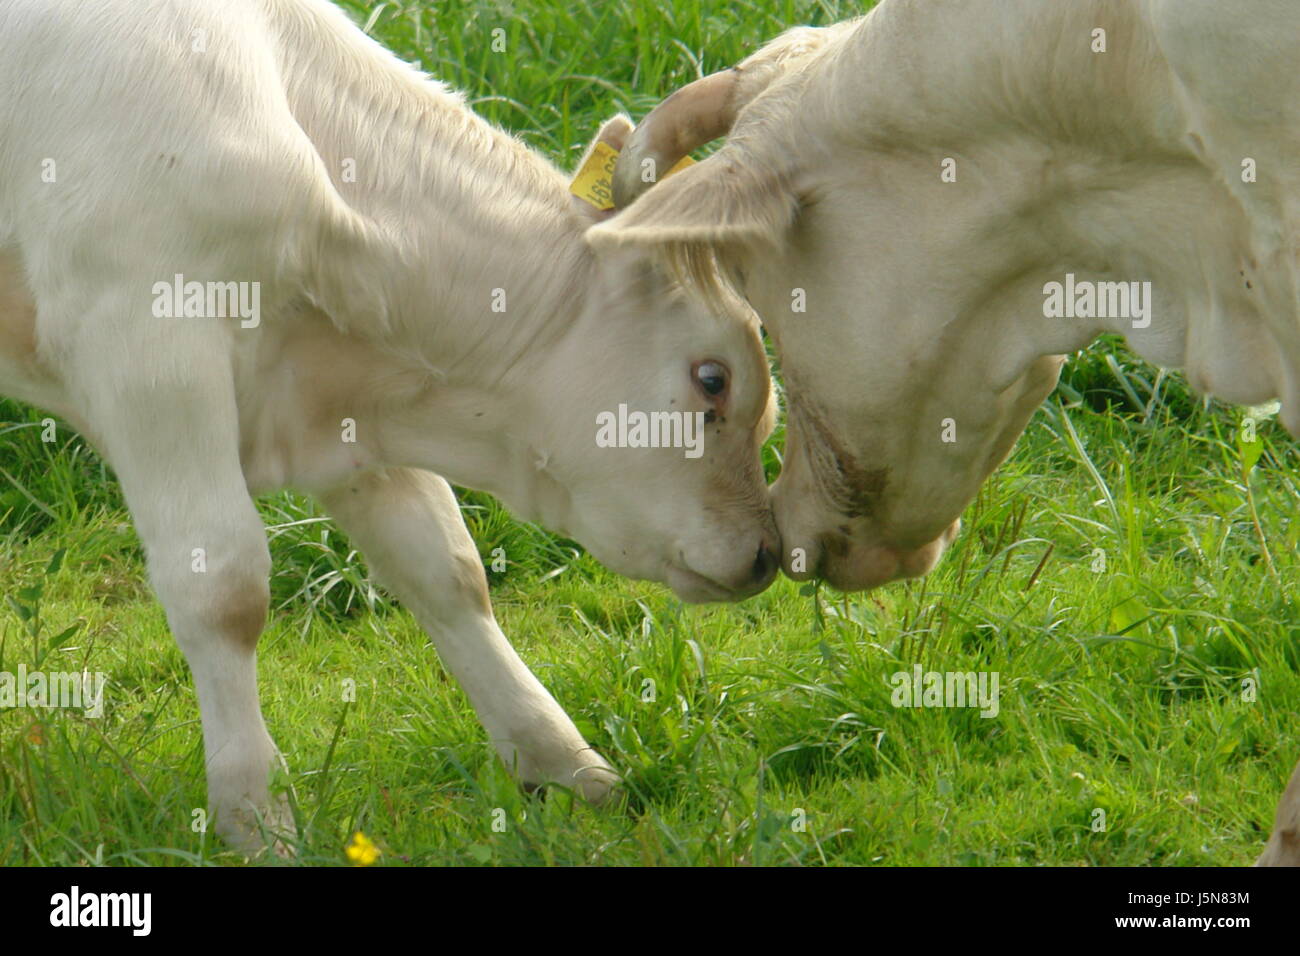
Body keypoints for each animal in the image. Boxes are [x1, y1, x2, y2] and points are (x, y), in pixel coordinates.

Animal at [0, 0, 781, 852]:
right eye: (714, 378)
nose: (768, 553)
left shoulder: (341, 402)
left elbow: (446, 567)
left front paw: (559, 762)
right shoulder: (145, 347)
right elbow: (224, 589)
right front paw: (256, 815)